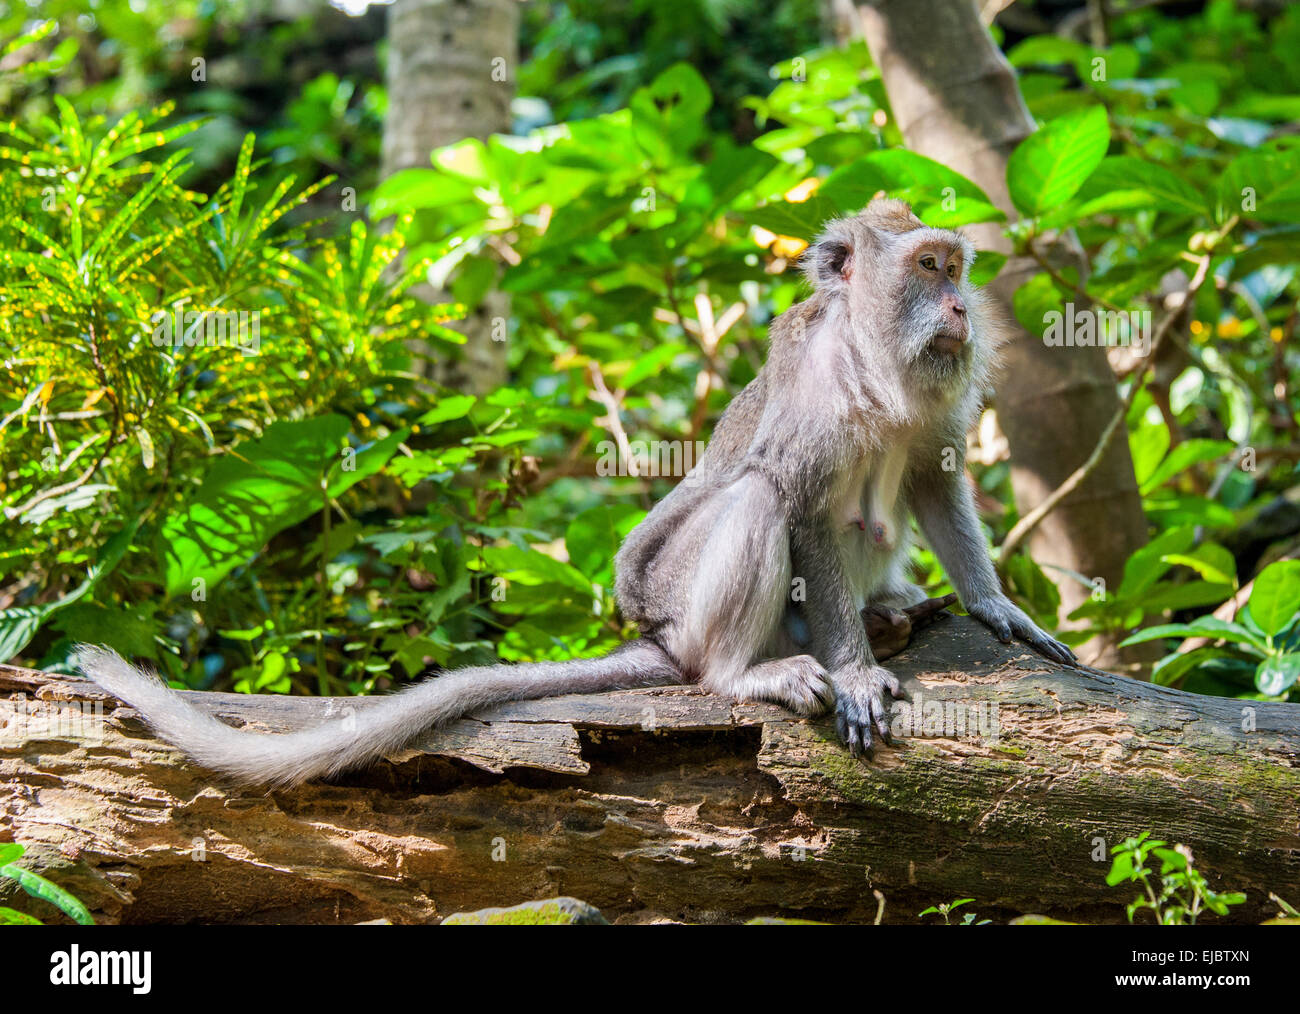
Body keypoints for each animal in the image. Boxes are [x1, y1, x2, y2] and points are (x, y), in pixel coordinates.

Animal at [74, 198, 1075, 787]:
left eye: (955, 268)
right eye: (927, 269)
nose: (960, 308)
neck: (872, 367)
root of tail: (663, 639)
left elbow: (932, 475)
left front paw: (996, 609)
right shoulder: (813, 398)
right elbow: (796, 502)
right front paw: (857, 672)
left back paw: (893, 610)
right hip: (683, 603)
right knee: (749, 508)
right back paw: (749, 670)